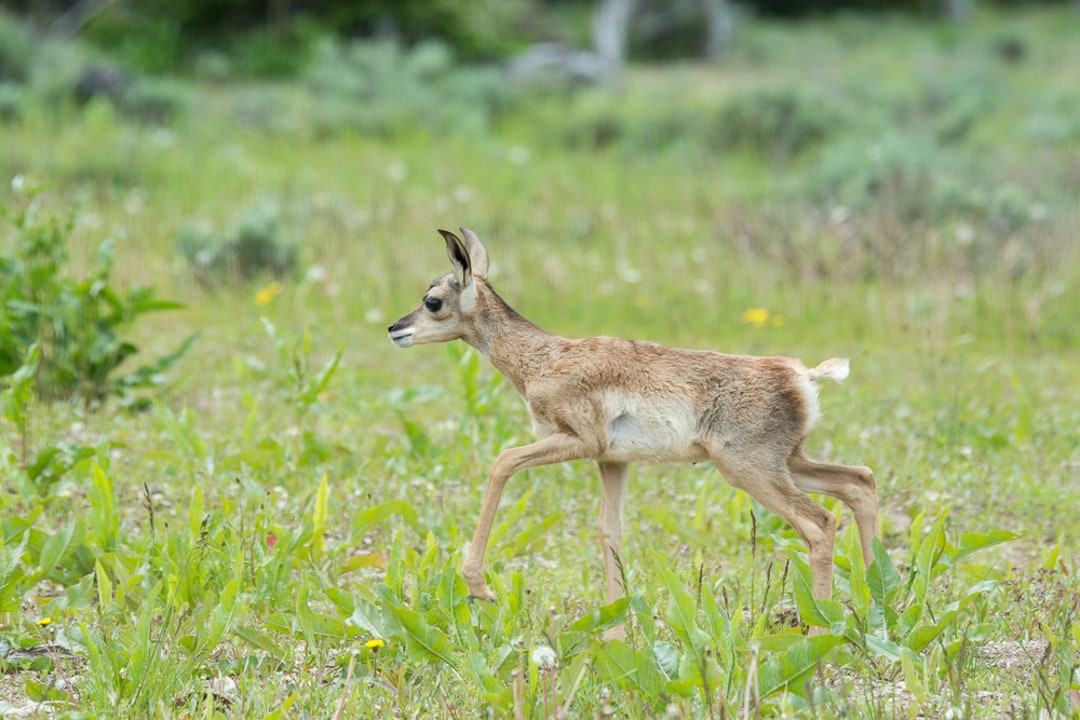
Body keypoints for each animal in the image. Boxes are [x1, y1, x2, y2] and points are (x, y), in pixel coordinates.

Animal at [388, 228, 878, 637]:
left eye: (432, 300)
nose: (394, 328)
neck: (544, 357)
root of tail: (798, 374)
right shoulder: (612, 461)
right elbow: (610, 532)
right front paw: (615, 635)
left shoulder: (579, 442)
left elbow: (501, 462)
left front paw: (480, 587)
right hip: (790, 463)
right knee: (860, 482)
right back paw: (878, 608)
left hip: (751, 471)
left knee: (821, 523)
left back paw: (818, 631)